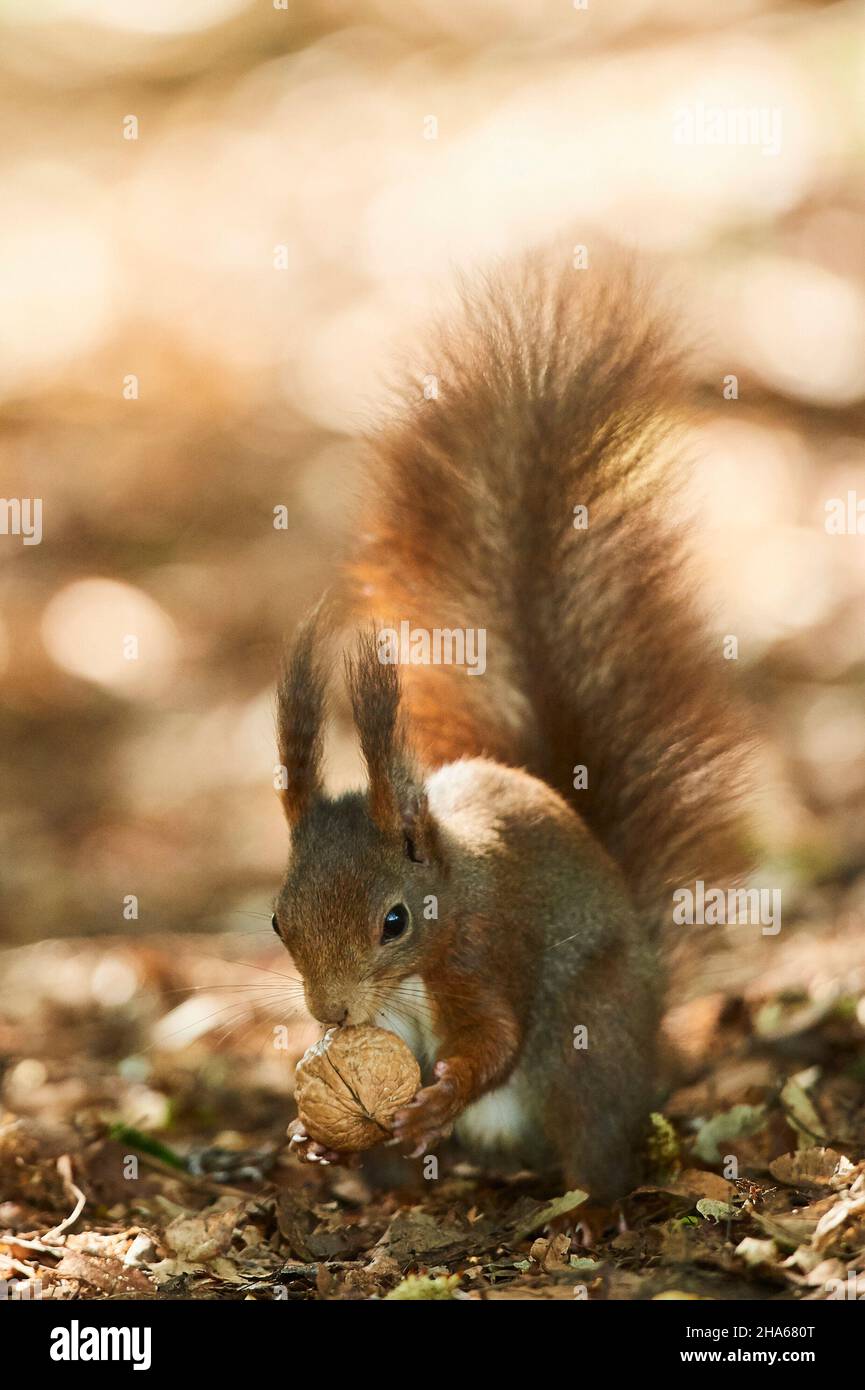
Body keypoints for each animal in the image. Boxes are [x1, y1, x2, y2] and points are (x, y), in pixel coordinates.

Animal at [272, 251, 748, 1203]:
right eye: (277, 922)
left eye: (394, 921)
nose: (331, 1014)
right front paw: (313, 1131)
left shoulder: (486, 954)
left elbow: (491, 1041)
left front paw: (436, 1098)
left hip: (588, 1037)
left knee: (595, 1129)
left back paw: (590, 1210)